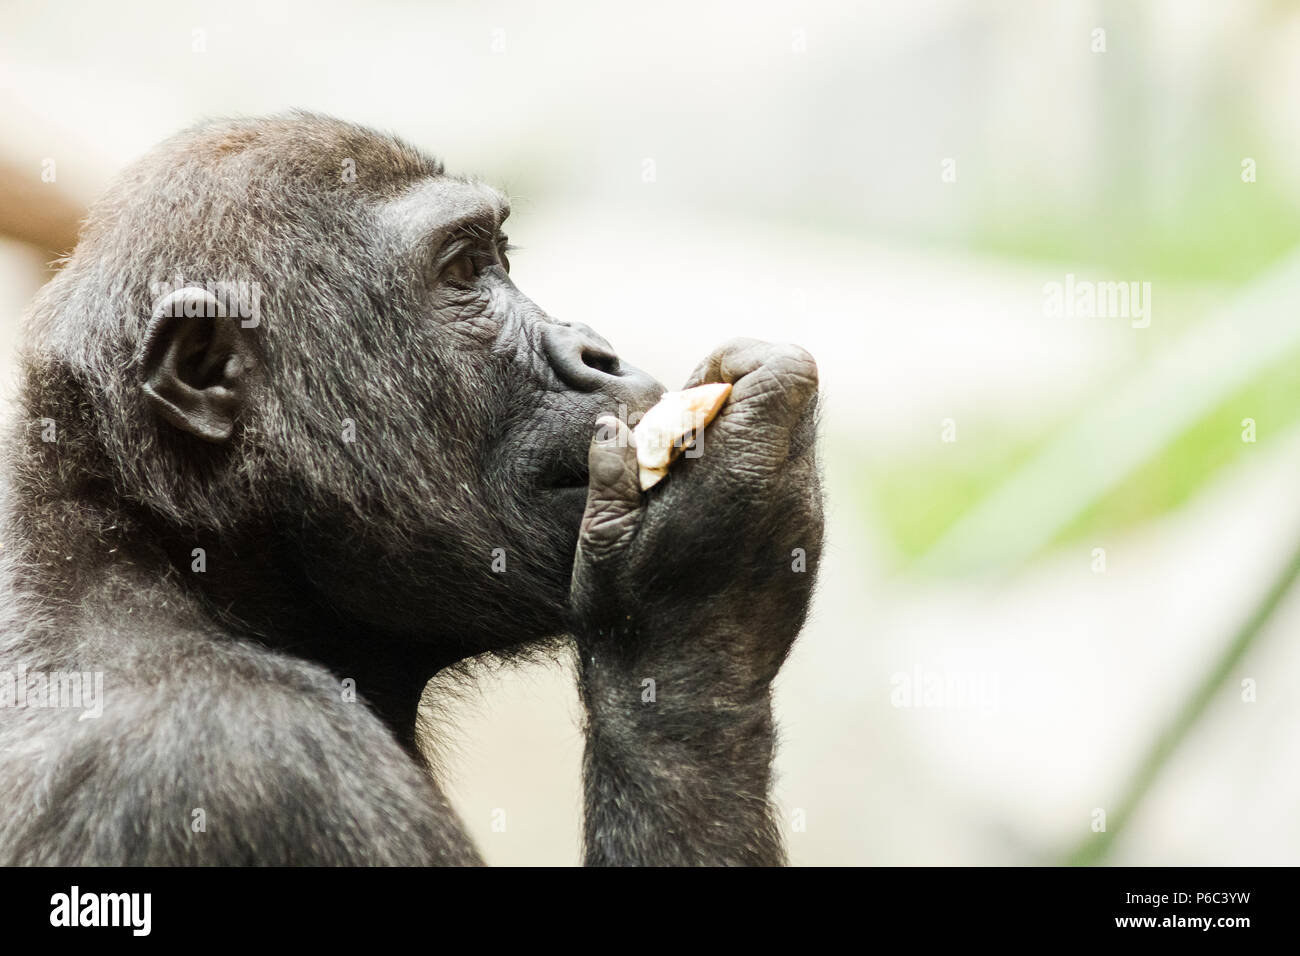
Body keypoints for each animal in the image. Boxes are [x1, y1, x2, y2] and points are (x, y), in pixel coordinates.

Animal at [0, 113, 822, 865]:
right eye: (461, 270)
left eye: (500, 258)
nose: (597, 352)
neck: (163, 539)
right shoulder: (253, 755)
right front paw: (697, 580)